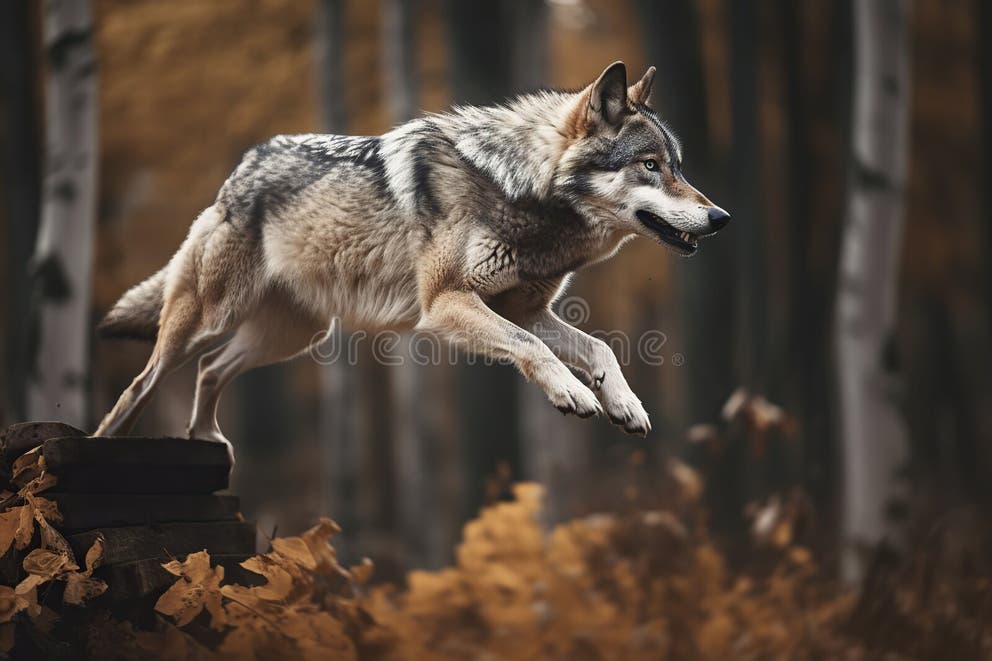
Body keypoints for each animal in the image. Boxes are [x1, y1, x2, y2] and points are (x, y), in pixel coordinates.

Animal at [95, 62, 730, 450]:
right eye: (651, 166)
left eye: (678, 166)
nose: (721, 218)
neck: (516, 188)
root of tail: (241, 168)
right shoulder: (448, 304)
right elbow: (532, 350)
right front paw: (572, 393)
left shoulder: (527, 310)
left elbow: (600, 348)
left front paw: (625, 404)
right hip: (208, 319)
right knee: (142, 384)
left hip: (294, 336)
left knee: (210, 369)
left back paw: (209, 441)